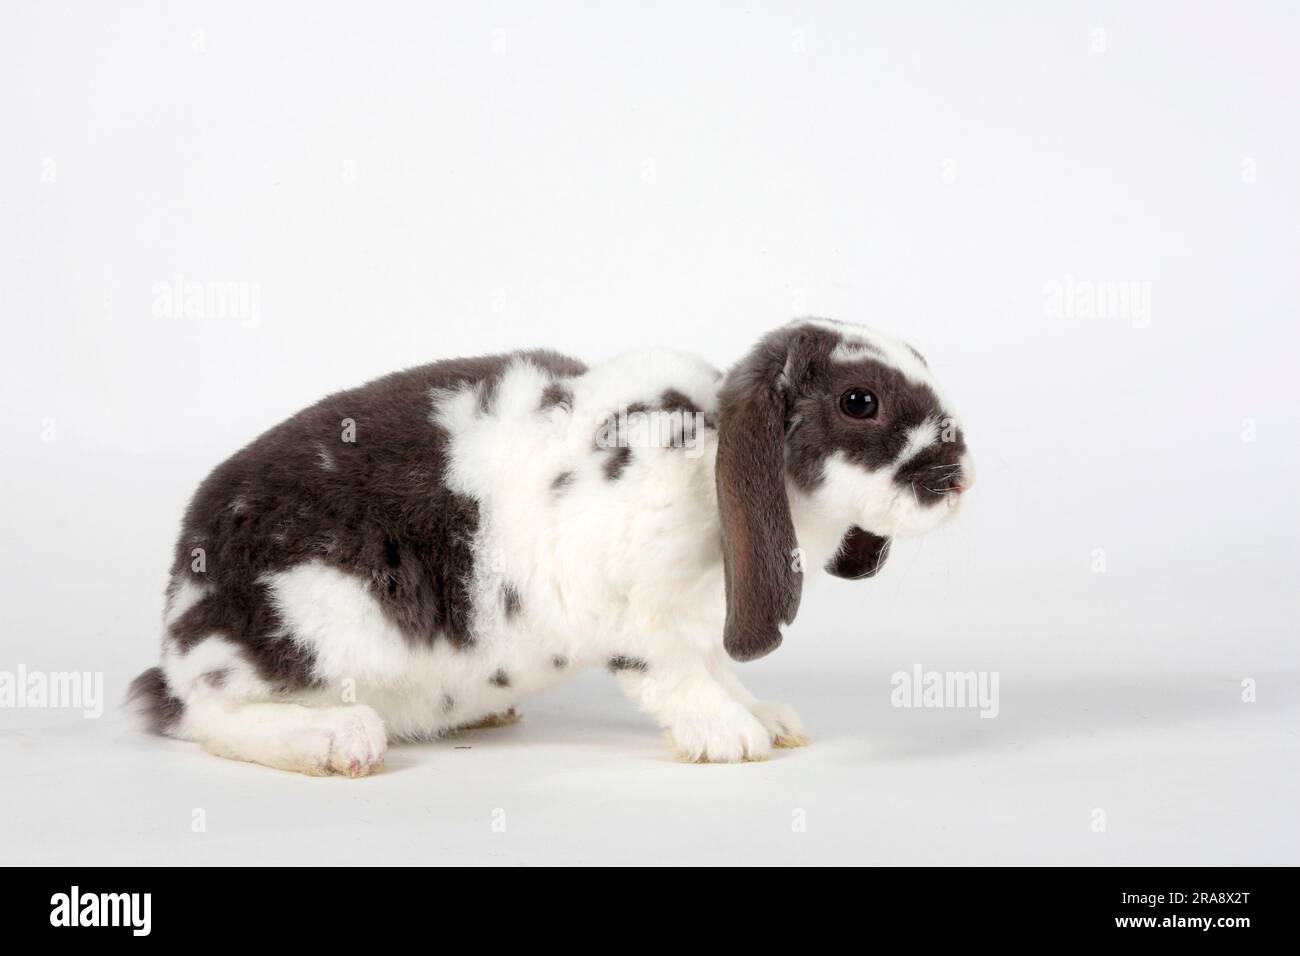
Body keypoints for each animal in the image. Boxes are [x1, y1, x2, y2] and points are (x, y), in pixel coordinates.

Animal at [129, 317, 973, 775]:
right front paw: (730, 738)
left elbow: (718, 669)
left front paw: (765, 718)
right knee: (214, 715)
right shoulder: (642, 622)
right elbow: (678, 680)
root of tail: (177, 624)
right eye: (859, 401)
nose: (960, 477)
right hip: (314, 628)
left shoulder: (705, 622)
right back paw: (338, 740)